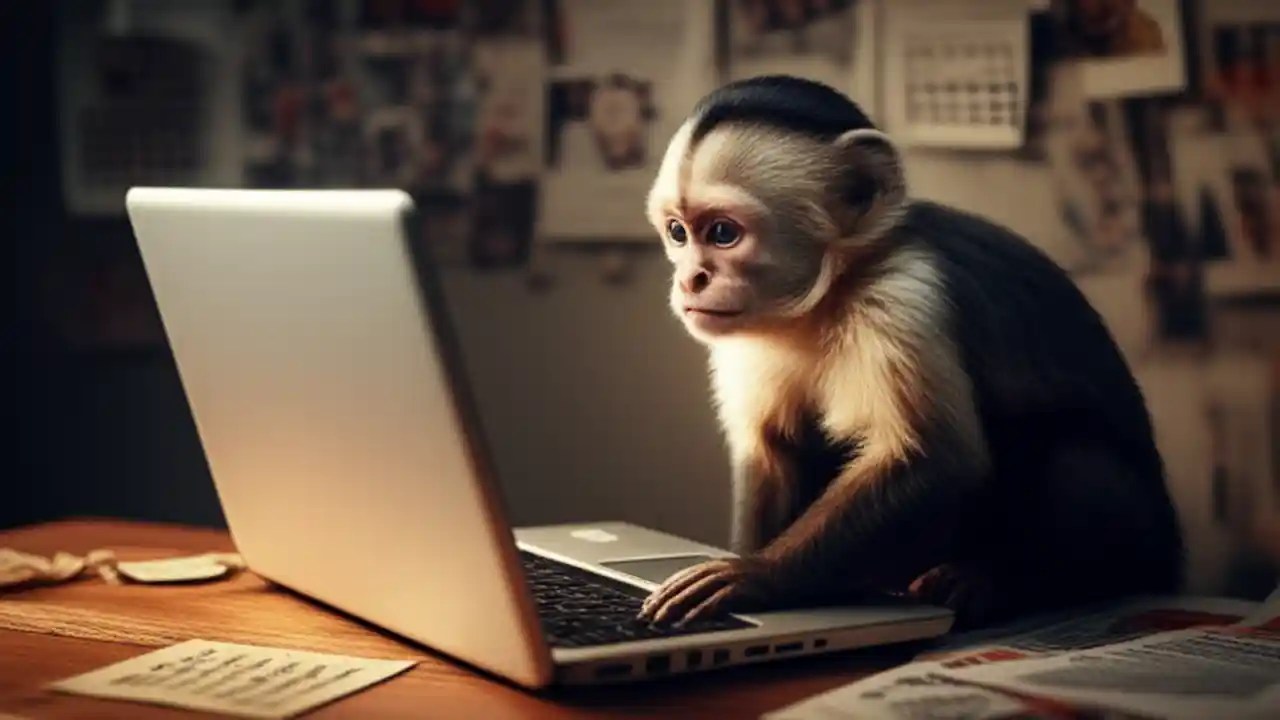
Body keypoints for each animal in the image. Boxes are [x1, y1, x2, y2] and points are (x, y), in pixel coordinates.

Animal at [635, 75, 1184, 631]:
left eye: (723, 233)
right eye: (678, 233)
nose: (690, 279)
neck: (829, 295)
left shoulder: (904, 295)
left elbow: (938, 463)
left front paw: (756, 574)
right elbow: (769, 451)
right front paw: (746, 557)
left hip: (1143, 539)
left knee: (1075, 455)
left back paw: (1002, 582)